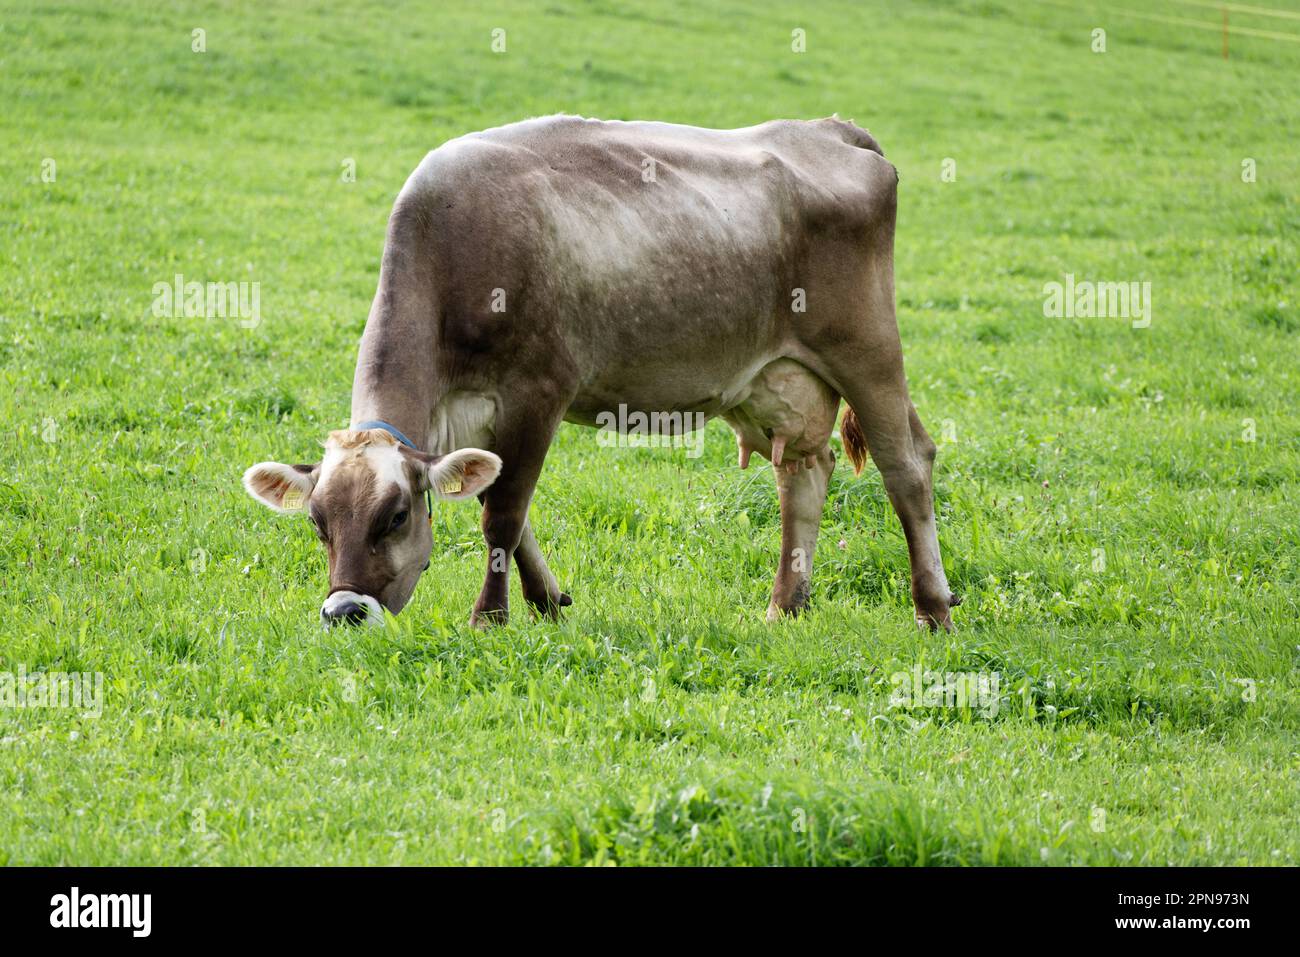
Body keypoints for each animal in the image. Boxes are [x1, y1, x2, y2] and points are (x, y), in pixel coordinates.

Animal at [243, 115, 960, 630]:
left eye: (394, 517)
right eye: (318, 522)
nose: (343, 611)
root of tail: (827, 129)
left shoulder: (537, 392)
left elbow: (502, 514)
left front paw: (490, 616)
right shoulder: (462, 415)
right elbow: (506, 504)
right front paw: (546, 599)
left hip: (867, 349)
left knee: (907, 466)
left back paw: (932, 606)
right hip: (778, 377)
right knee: (805, 474)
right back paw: (786, 605)